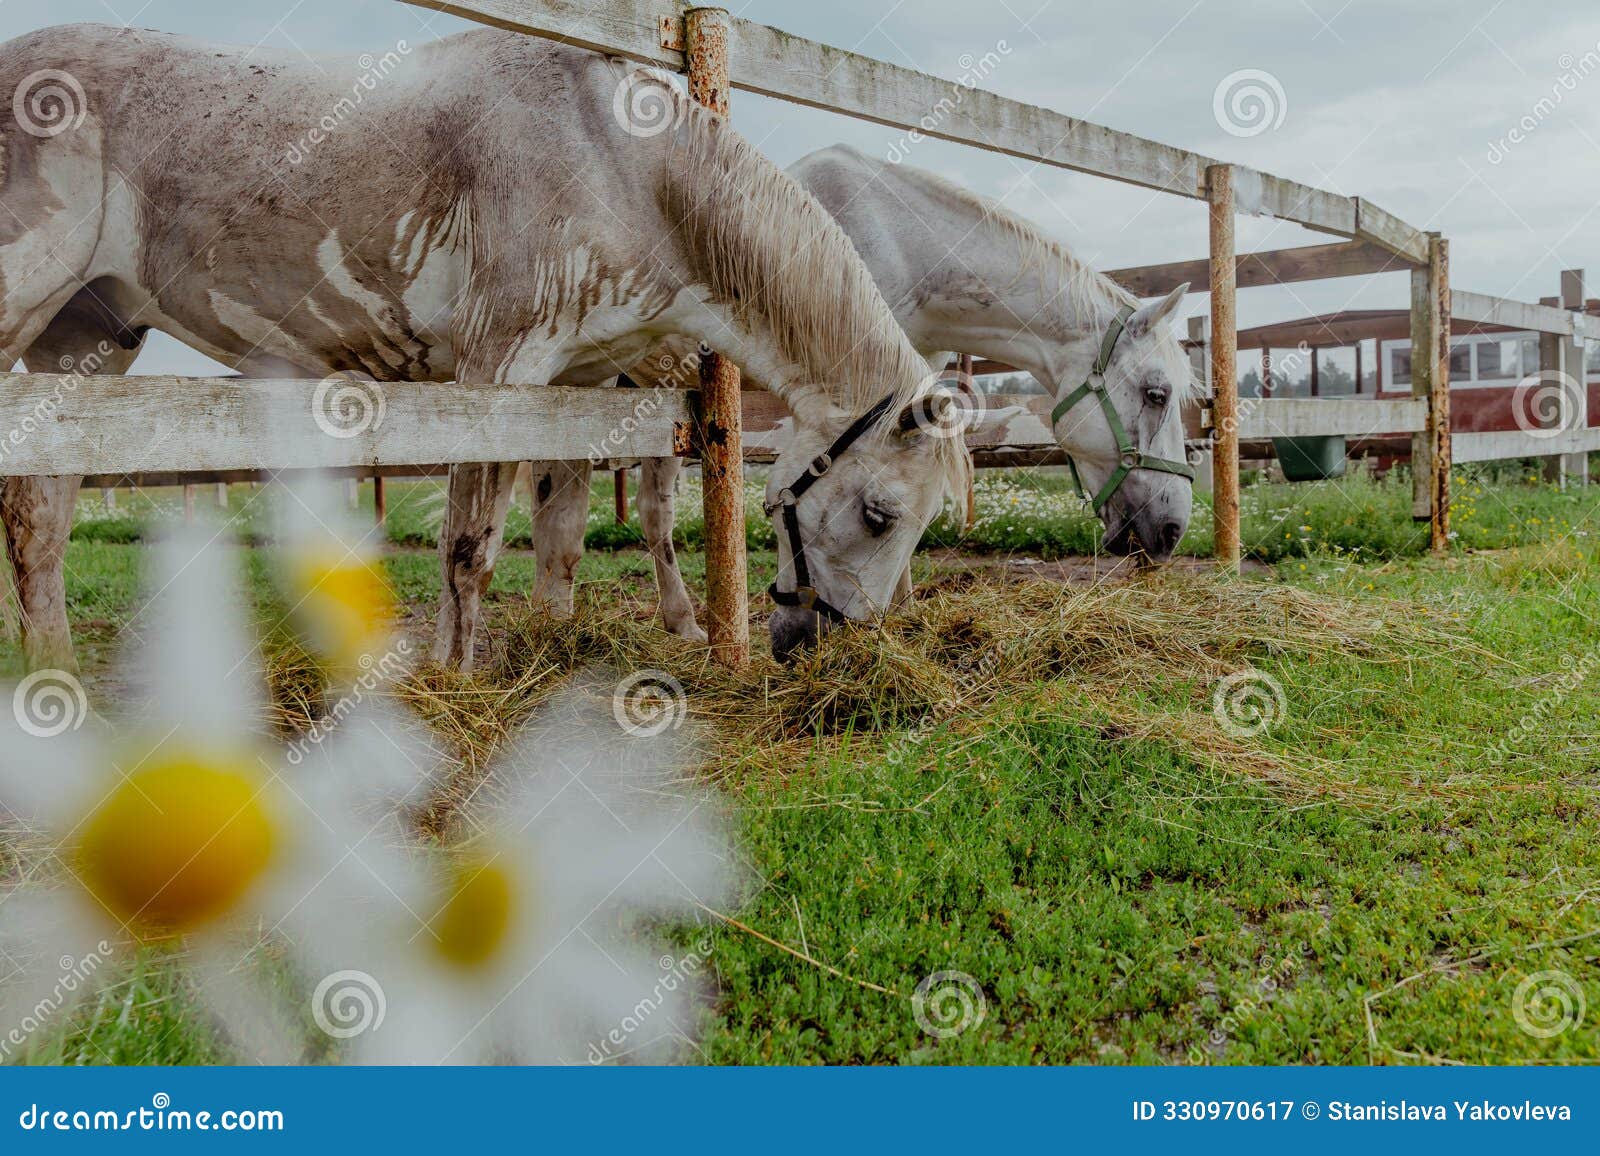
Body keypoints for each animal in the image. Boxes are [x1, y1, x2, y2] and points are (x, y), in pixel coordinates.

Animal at [0, 27, 978, 671]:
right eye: (881, 515)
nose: (819, 643)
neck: (616, 161)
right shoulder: (496, 371)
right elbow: (470, 546)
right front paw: (454, 673)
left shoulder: (578, 388)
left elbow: (560, 536)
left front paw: (556, 639)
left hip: (85, 345)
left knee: (39, 521)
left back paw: (59, 680)